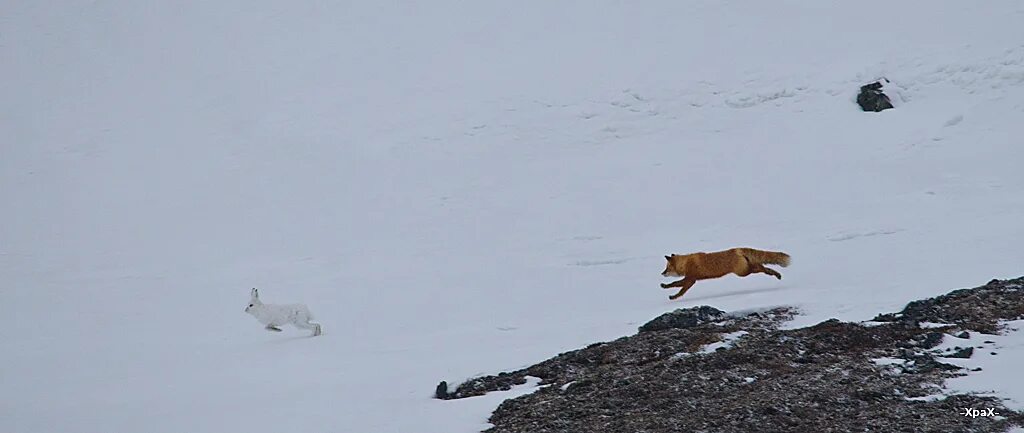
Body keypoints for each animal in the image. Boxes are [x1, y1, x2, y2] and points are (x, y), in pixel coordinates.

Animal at [655, 248, 790, 300]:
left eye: (667, 268)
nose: (662, 273)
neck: (686, 263)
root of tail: (737, 249)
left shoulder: (690, 279)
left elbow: (677, 285)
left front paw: (671, 294)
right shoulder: (690, 280)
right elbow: (678, 285)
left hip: (743, 272)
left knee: (760, 267)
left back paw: (774, 273)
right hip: (745, 270)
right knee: (761, 265)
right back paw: (775, 273)